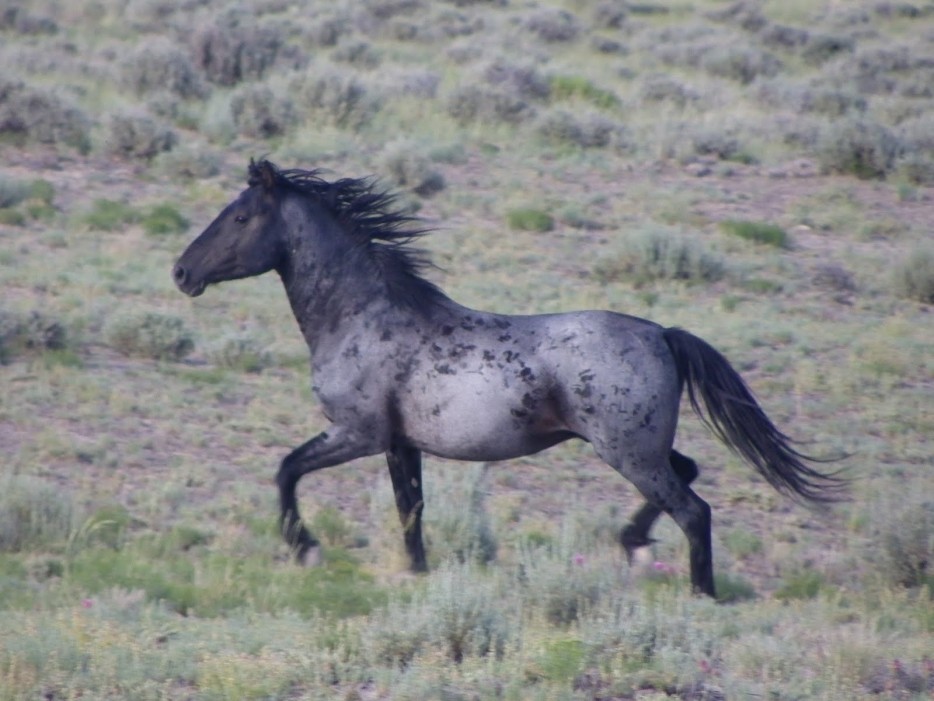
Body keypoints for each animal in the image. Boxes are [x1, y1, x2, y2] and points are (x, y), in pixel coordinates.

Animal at [172, 159, 845, 597]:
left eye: (239, 217)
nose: (181, 272)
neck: (363, 315)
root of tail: (661, 334)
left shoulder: (357, 434)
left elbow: (287, 469)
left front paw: (304, 547)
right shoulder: (399, 444)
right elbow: (410, 510)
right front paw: (417, 575)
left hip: (627, 452)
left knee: (693, 510)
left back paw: (698, 593)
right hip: (641, 449)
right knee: (688, 476)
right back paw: (631, 545)